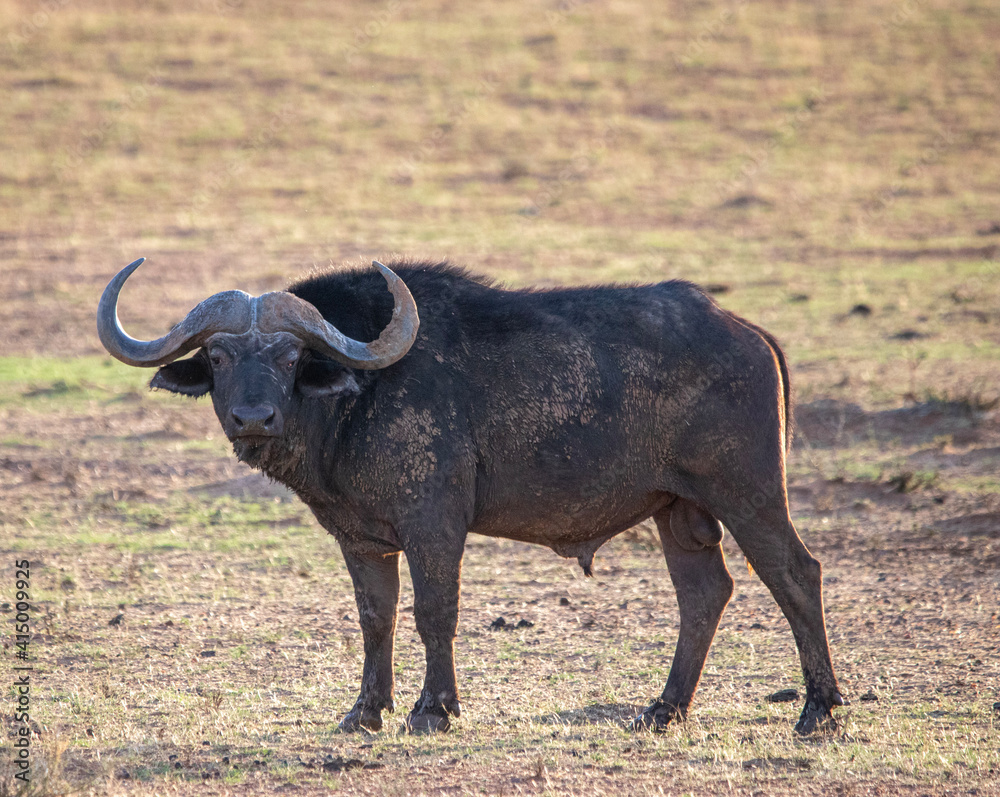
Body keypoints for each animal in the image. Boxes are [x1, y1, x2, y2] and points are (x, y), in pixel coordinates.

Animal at [97, 257, 843, 735]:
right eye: (220, 356)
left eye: (288, 356)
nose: (253, 417)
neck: (360, 395)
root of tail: (746, 331)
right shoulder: (362, 539)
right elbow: (376, 618)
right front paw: (364, 712)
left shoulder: (435, 525)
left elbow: (435, 613)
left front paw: (433, 709)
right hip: (677, 511)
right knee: (704, 593)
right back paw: (663, 710)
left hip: (747, 493)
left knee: (795, 573)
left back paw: (819, 710)